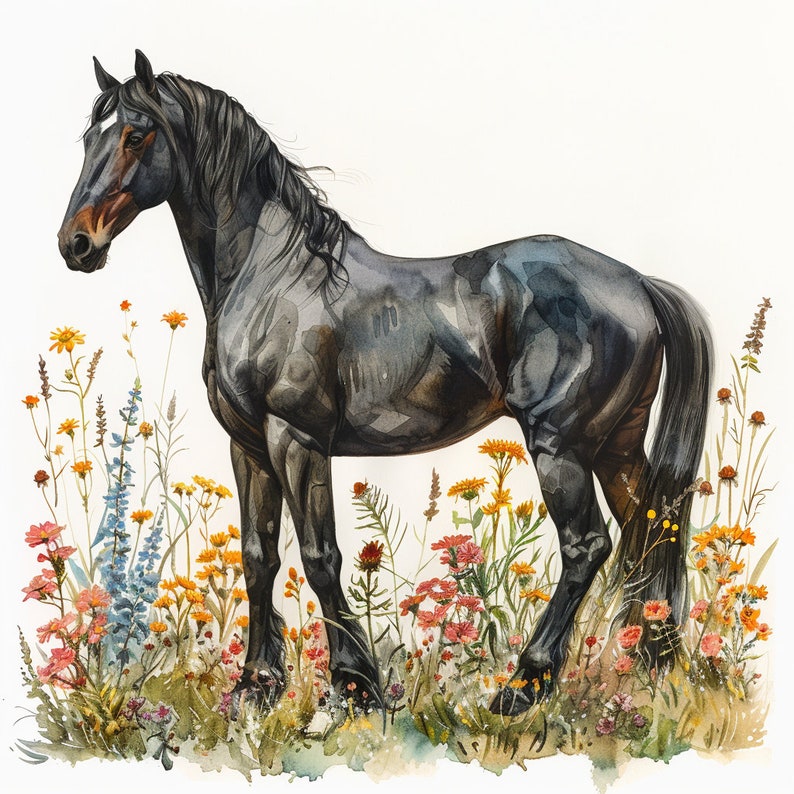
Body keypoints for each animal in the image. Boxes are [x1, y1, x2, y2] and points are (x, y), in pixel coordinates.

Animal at [58, 51, 712, 715]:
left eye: (136, 135)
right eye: (90, 137)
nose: (76, 244)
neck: (271, 279)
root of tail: (638, 283)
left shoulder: (297, 440)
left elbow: (319, 558)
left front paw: (355, 684)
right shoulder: (249, 447)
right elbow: (258, 557)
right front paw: (255, 685)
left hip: (562, 446)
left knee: (588, 547)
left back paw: (524, 686)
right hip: (615, 447)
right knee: (650, 532)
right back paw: (653, 664)